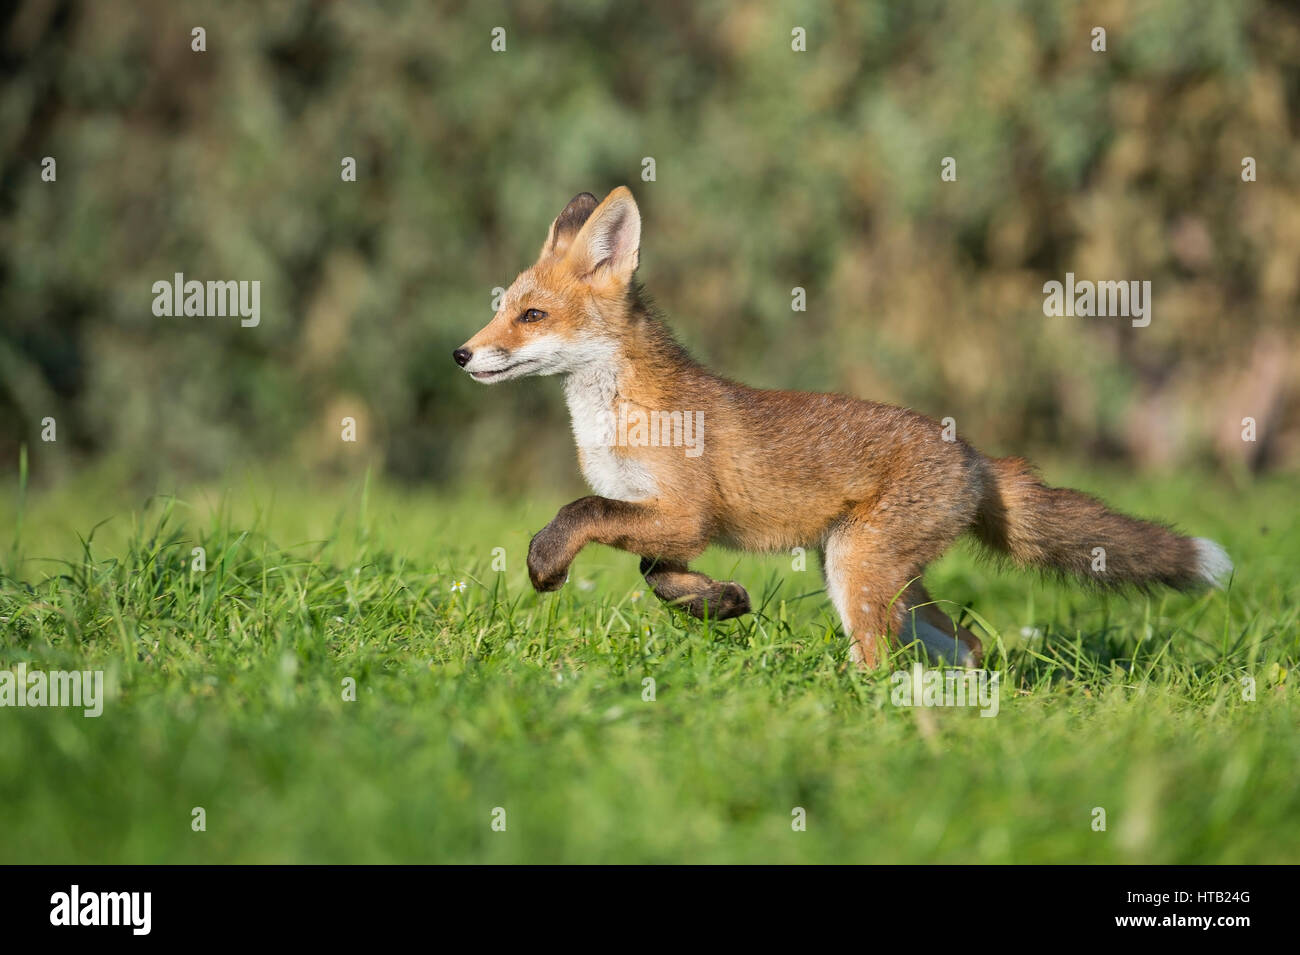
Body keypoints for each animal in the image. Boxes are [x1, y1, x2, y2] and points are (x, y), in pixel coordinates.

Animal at [453, 186, 1233, 668]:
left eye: (531, 317)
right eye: (501, 309)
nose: (460, 353)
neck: (617, 411)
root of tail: (974, 455)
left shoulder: (684, 512)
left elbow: (581, 512)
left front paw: (545, 562)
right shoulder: (663, 519)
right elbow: (654, 572)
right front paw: (721, 601)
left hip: (859, 573)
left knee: (882, 664)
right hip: (874, 575)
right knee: (967, 646)